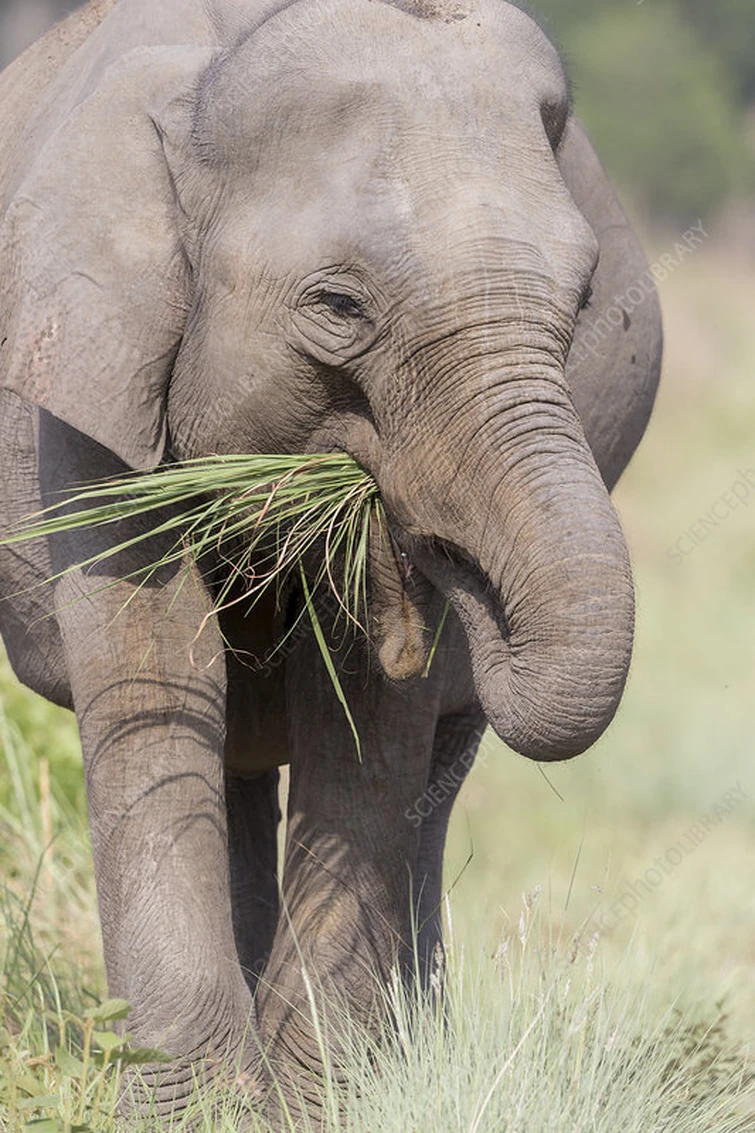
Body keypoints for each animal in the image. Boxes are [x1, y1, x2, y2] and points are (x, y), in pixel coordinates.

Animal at [0, 0, 662, 1119]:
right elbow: (158, 668)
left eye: (580, 302)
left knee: (424, 771)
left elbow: (360, 723)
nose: (455, 576)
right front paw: (203, 1116)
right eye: (339, 308)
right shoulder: (91, 372)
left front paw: (322, 1111)